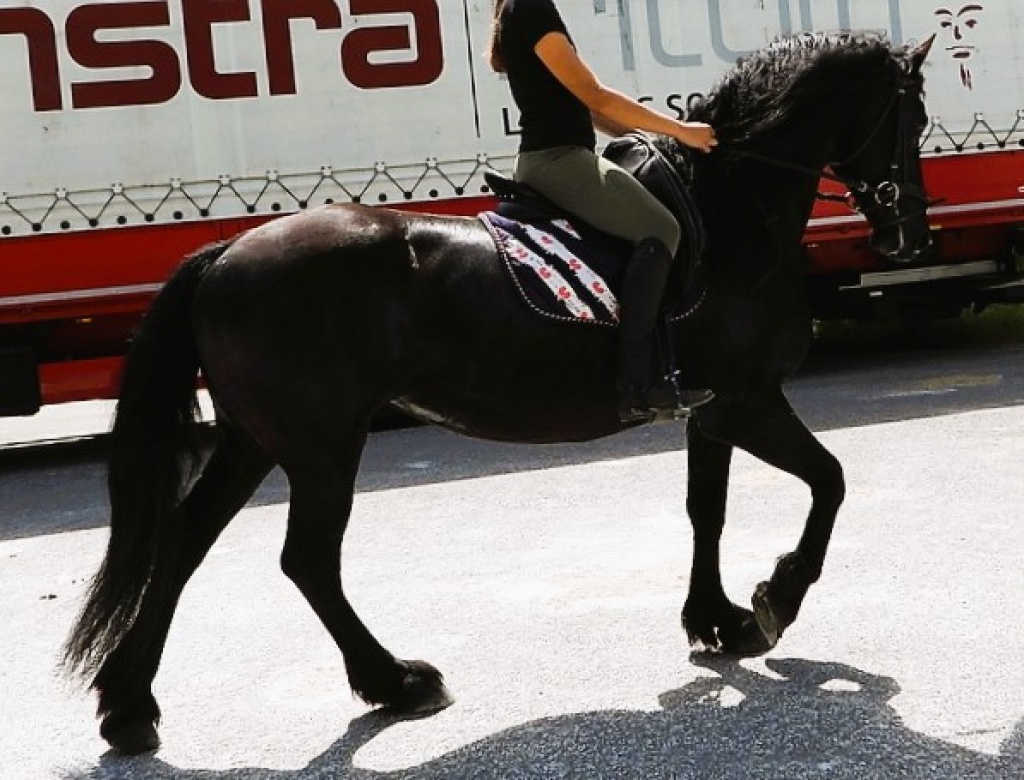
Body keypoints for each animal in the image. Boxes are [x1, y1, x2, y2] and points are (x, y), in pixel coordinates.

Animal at [64, 32, 935, 755]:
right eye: (910, 117)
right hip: (320, 445)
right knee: (306, 559)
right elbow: (830, 481)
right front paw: (776, 596)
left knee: (182, 543)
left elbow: (706, 510)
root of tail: (227, 252)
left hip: (255, 440)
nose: (910, 239)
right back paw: (395, 683)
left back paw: (129, 708)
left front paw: (719, 622)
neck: (730, 220)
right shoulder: (749, 402)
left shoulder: (712, 411)